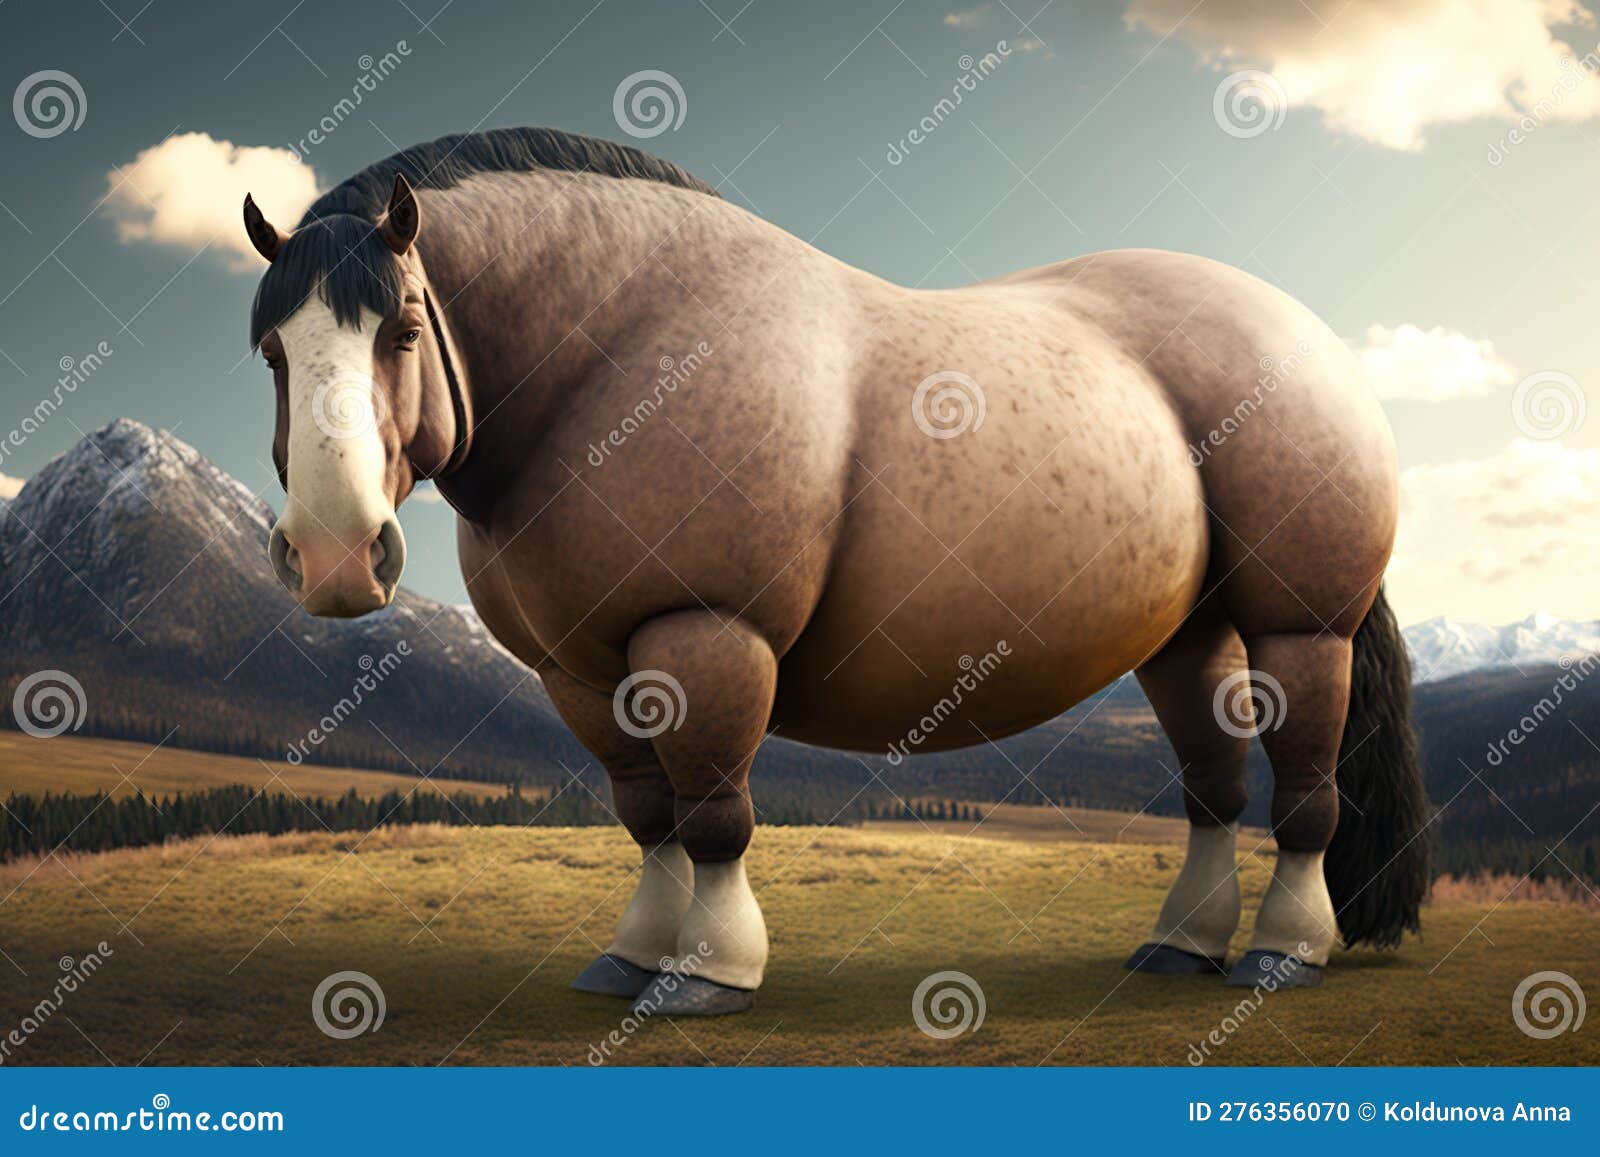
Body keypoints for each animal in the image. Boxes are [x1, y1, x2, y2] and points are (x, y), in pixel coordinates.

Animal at [243, 127, 1429, 1016]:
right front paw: (631, 957)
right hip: (1188, 635)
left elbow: (715, 814)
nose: (336, 553)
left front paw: (710, 973)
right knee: (1212, 785)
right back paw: (1182, 946)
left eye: (403, 327)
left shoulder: (705, 632)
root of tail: (1311, 339)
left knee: (1306, 791)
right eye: (272, 350)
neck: (608, 356)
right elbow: (648, 815)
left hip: (1302, 626)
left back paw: (1283, 951)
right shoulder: (581, 670)